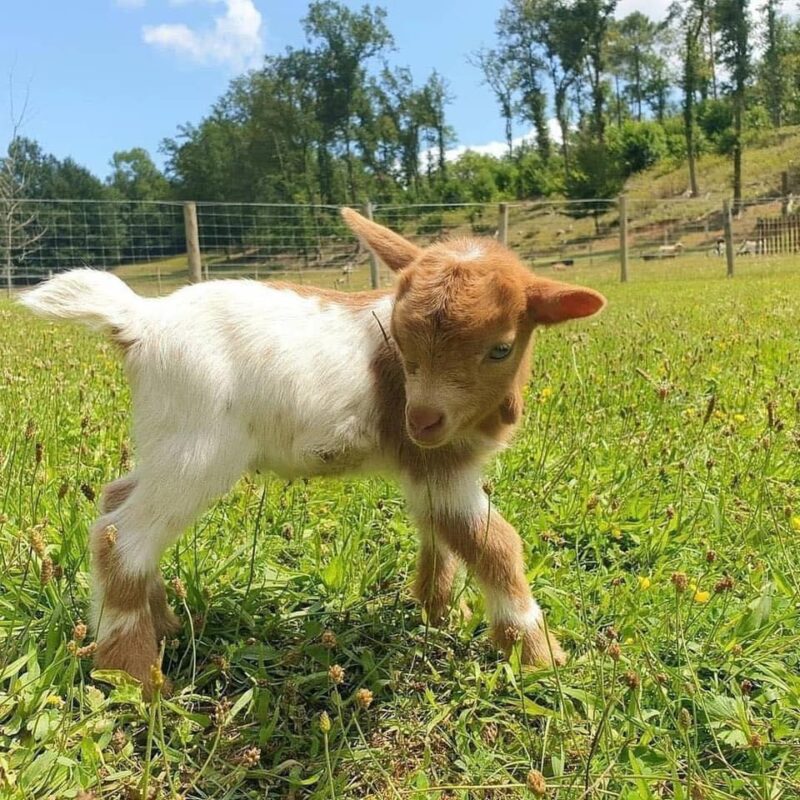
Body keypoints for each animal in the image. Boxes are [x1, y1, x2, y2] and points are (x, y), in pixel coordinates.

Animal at [20, 209, 606, 693]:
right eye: (399, 336)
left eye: (501, 348)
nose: (420, 419)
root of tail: (141, 321)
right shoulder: (441, 462)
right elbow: (494, 544)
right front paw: (539, 656)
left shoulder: (428, 464)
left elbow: (438, 533)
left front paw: (440, 612)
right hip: (198, 451)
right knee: (124, 537)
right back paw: (135, 679)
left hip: (167, 441)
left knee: (116, 502)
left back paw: (160, 624)